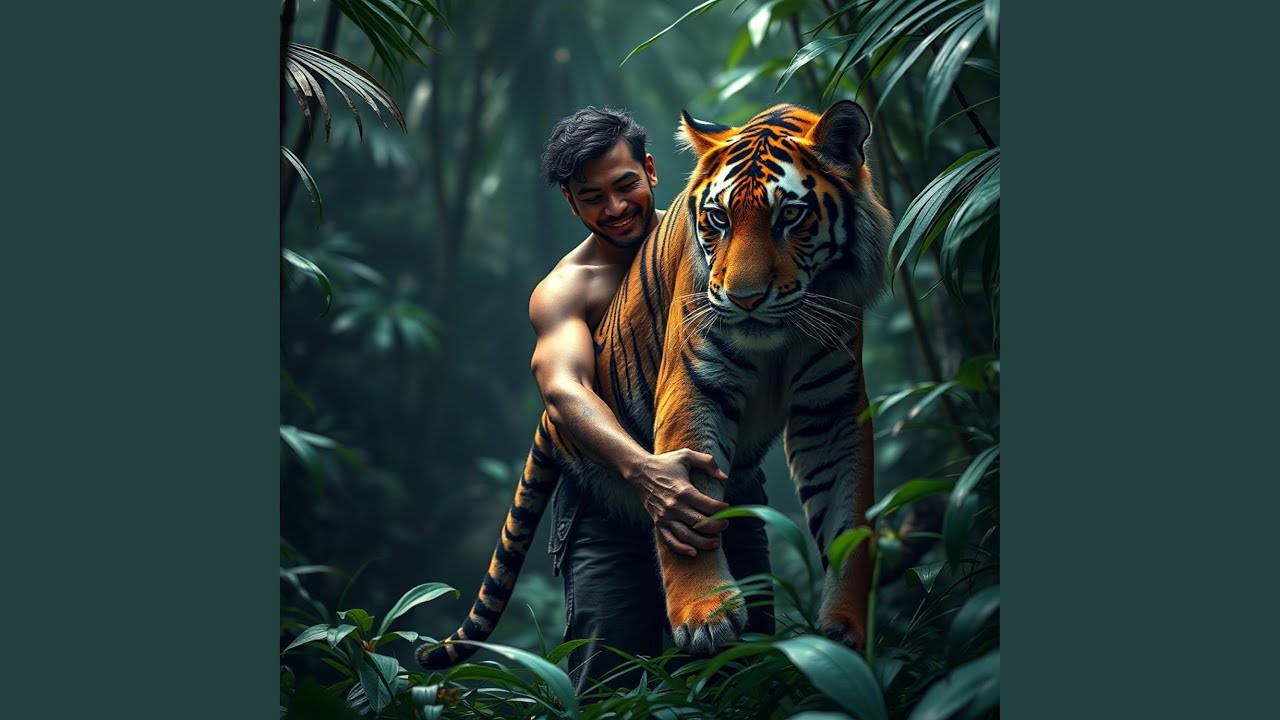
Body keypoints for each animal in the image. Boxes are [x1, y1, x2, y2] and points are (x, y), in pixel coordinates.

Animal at [417, 100, 893, 670]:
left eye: (790, 216)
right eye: (719, 218)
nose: (744, 299)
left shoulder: (832, 407)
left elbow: (849, 516)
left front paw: (846, 631)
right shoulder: (696, 382)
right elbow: (686, 513)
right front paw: (705, 617)